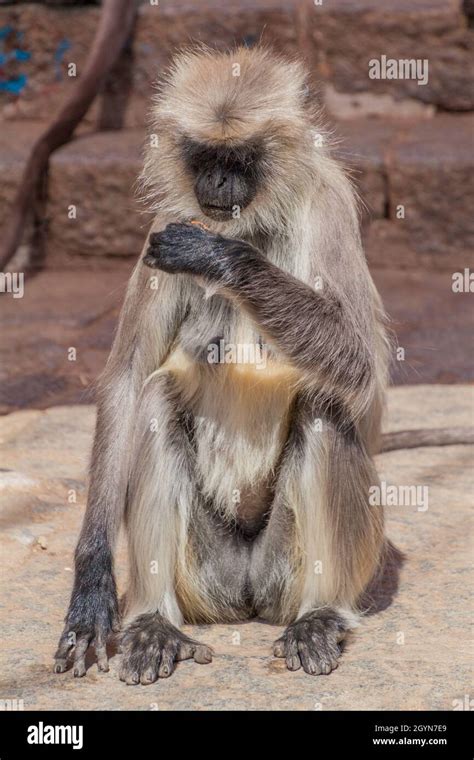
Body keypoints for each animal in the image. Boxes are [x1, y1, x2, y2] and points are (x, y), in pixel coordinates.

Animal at [53, 45, 470, 684]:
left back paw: (321, 615)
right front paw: (93, 583)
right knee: (154, 401)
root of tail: (248, 597)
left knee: (323, 408)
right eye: (205, 157)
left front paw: (222, 260)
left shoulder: (326, 202)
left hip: (310, 567)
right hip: (208, 578)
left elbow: (364, 371)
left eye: (241, 159)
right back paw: (153, 621)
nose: (218, 181)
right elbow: (125, 381)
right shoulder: (162, 228)